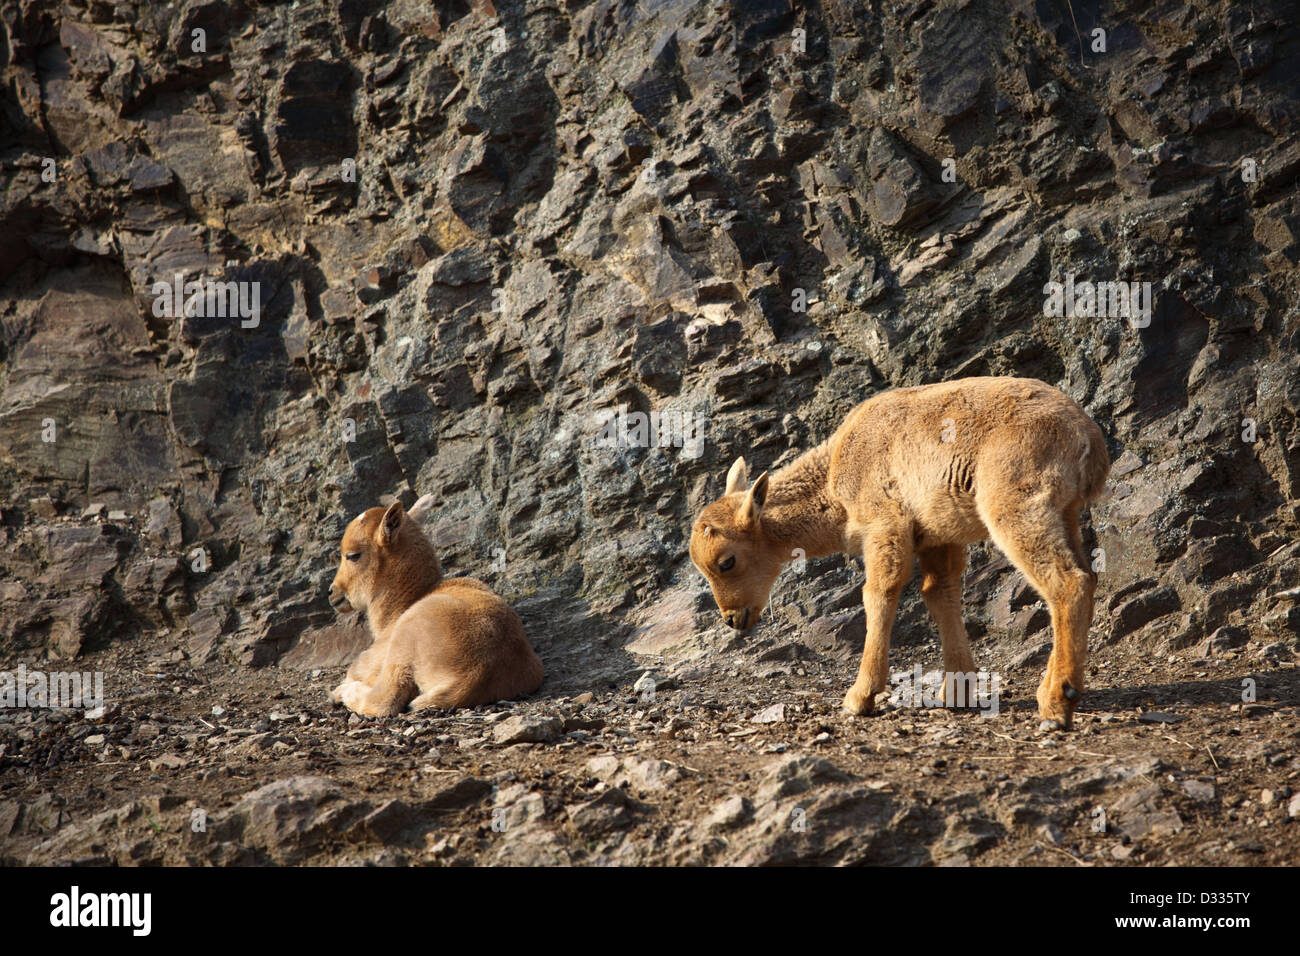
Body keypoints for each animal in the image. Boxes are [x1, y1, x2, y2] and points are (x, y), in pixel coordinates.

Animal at [327, 495, 543, 716]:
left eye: (353, 555)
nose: (332, 592)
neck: (404, 603)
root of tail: (473, 676)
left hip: (403, 645)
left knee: (384, 700)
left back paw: (341, 693)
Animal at [689, 376, 1110, 731]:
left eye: (726, 561)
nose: (733, 618)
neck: (835, 479)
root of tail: (1088, 439)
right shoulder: (938, 537)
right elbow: (939, 594)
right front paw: (957, 692)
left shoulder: (885, 524)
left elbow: (878, 594)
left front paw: (860, 697)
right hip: (1065, 515)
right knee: (1086, 577)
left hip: (1017, 508)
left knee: (1066, 583)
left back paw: (1057, 702)